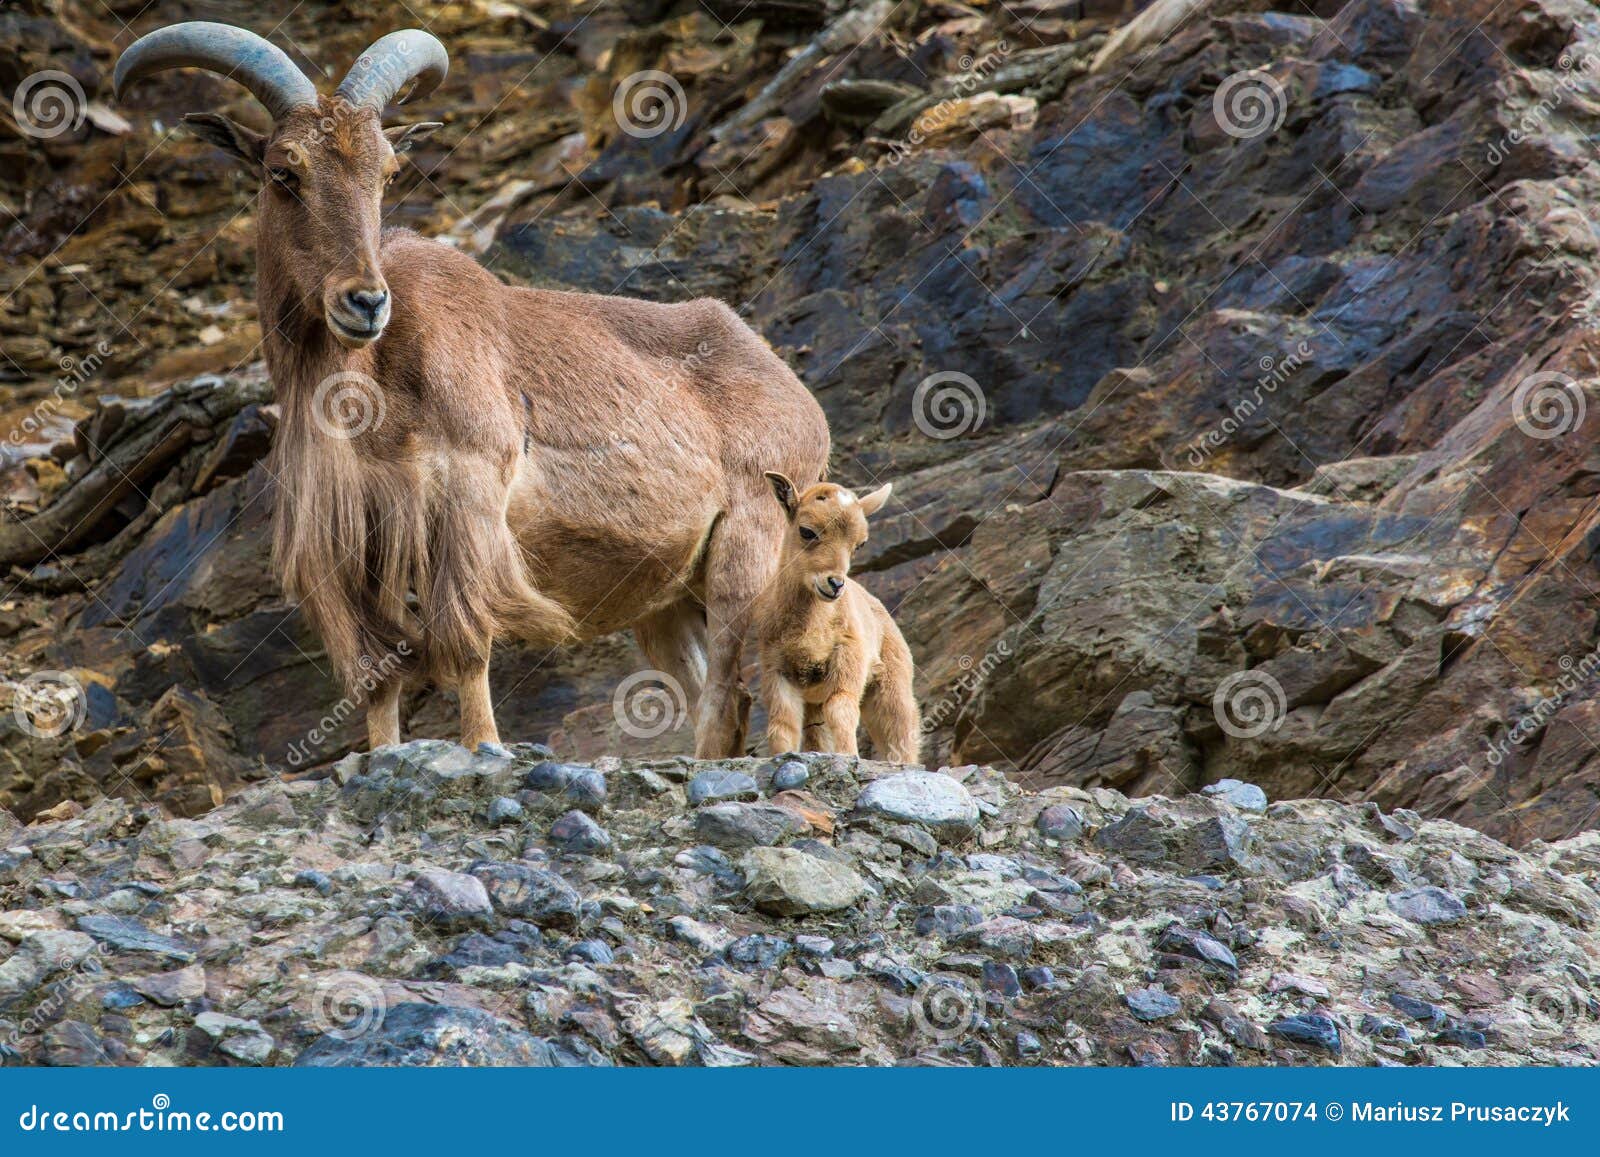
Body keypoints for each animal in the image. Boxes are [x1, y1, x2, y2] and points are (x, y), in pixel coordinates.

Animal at [115, 23, 830, 756]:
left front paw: (482, 744)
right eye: (283, 171)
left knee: (724, 688)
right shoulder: (348, 534)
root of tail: (793, 392)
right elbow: (376, 674)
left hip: (748, 547)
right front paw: (385, 755)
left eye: (387, 173)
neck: (367, 387)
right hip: (666, 594)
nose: (365, 302)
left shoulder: (467, 492)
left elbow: (464, 643)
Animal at [756, 473, 919, 763]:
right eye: (807, 531)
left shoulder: (847, 658)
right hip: (814, 703)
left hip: (891, 686)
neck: (809, 631)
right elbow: (782, 724)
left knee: (900, 735)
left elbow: (841, 710)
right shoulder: (777, 669)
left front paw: (848, 755)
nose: (835, 584)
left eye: (860, 544)